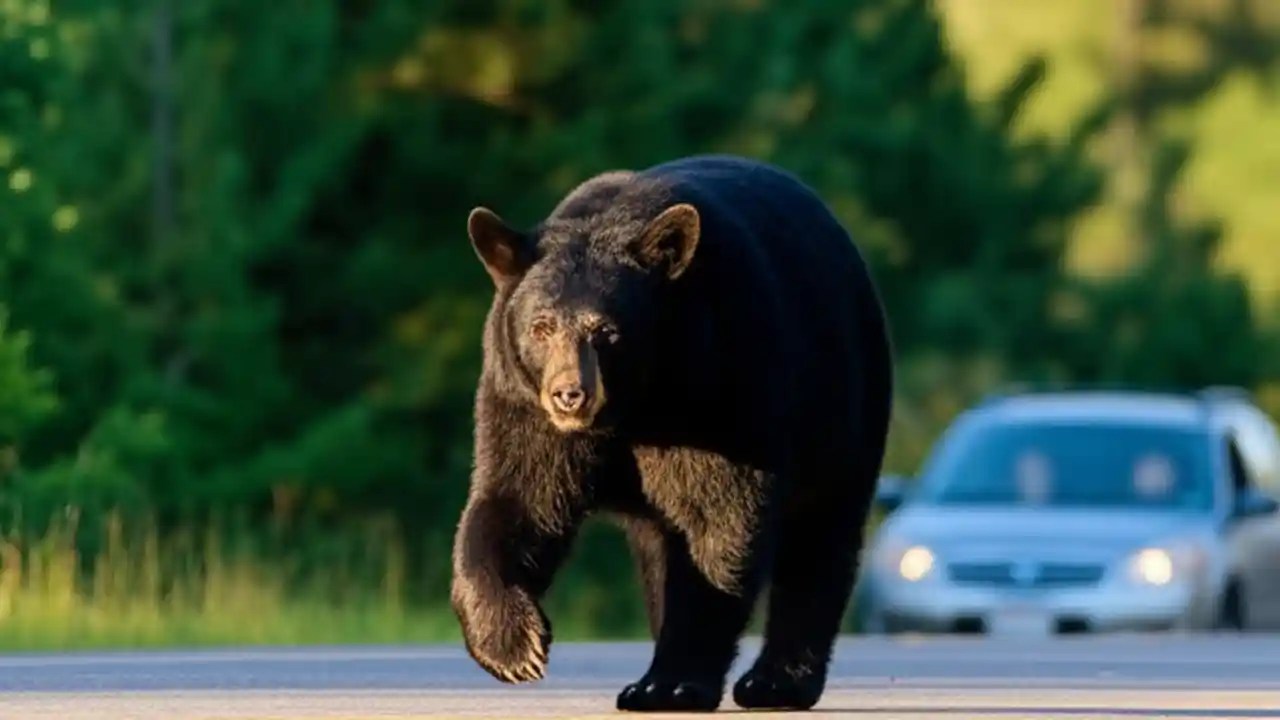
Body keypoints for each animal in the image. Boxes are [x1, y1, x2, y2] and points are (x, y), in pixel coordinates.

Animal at [450, 154, 893, 712]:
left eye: (606, 331)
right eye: (541, 326)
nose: (570, 394)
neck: (635, 407)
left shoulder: (718, 387)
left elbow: (719, 524)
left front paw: (672, 684)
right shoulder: (523, 403)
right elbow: (517, 501)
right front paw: (515, 648)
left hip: (843, 399)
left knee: (821, 535)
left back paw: (778, 680)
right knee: (660, 548)